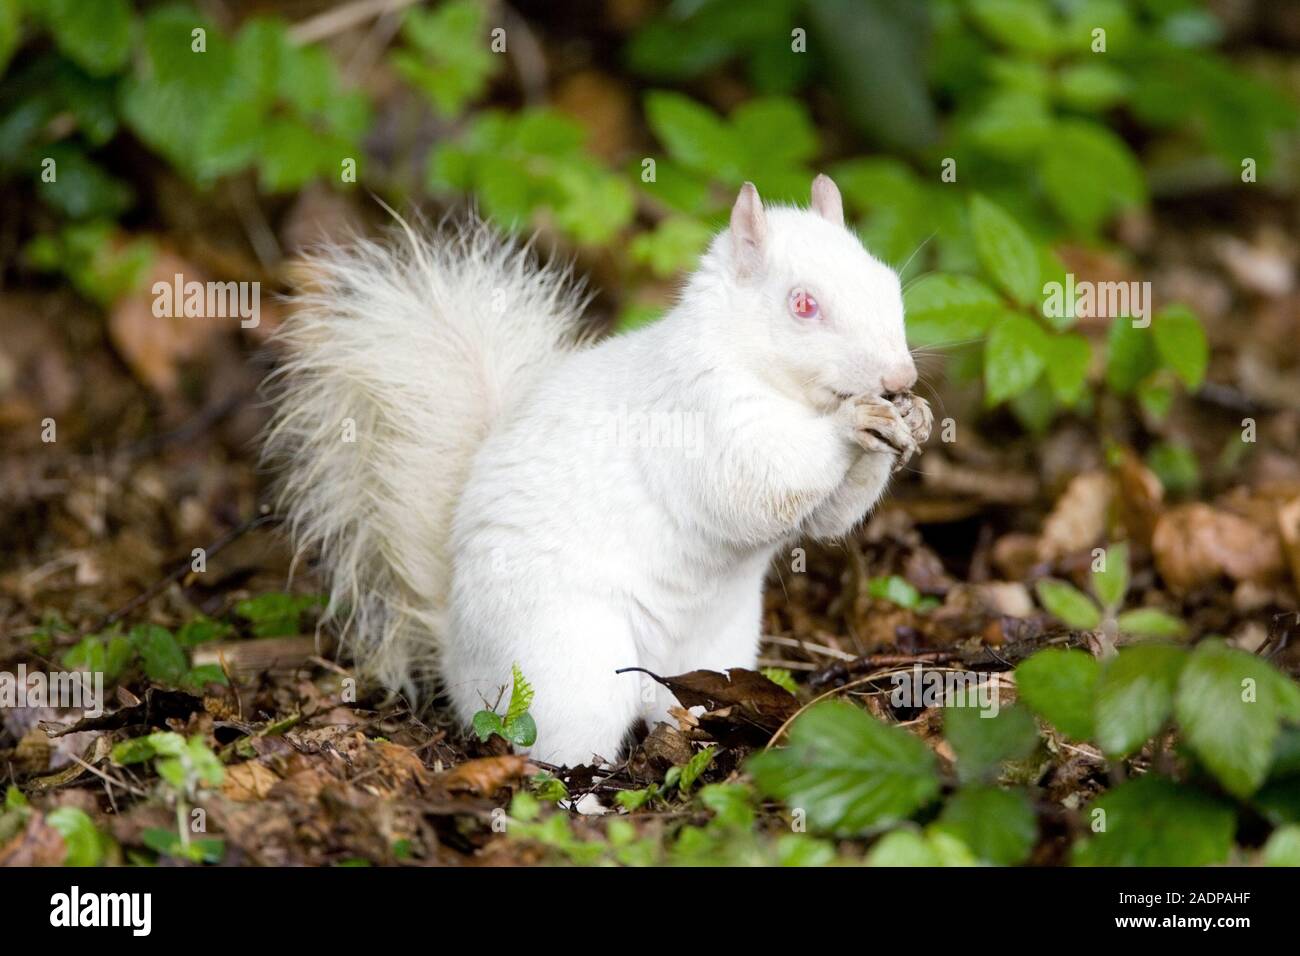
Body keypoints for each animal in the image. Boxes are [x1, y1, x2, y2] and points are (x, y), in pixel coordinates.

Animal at [263, 175, 932, 769]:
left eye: (886, 280)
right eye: (803, 305)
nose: (900, 377)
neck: (768, 378)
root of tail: (456, 652)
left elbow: (827, 518)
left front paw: (911, 420)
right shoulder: (702, 420)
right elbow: (762, 483)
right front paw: (854, 422)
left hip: (714, 652)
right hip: (565, 662)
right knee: (557, 750)